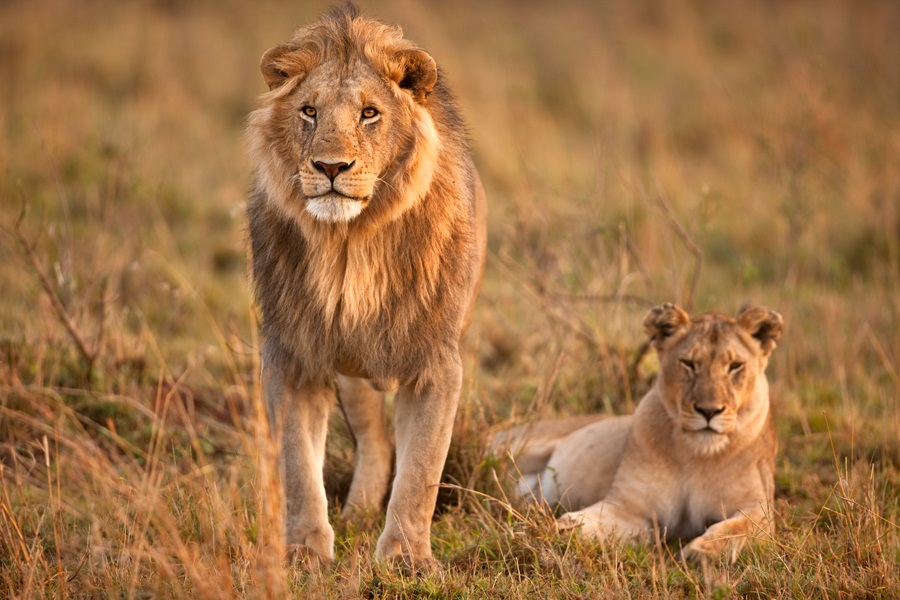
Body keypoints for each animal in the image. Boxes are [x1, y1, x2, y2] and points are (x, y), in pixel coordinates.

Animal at [245, 5, 487, 569]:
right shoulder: (292, 355)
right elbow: (297, 467)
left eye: (370, 113)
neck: (349, 245)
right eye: (309, 111)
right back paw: (356, 511)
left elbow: (421, 472)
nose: (331, 166)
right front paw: (305, 552)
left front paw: (405, 558)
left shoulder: (437, 362)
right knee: (374, 439)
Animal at [493, 303, 783, 561]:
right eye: (688, 363)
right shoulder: (629, 509)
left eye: (735, 366)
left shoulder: (759, 510)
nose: (709, 410)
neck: (697, 455)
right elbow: (581, 524)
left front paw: (702, 553)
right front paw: (550, 532)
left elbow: (738, 529)